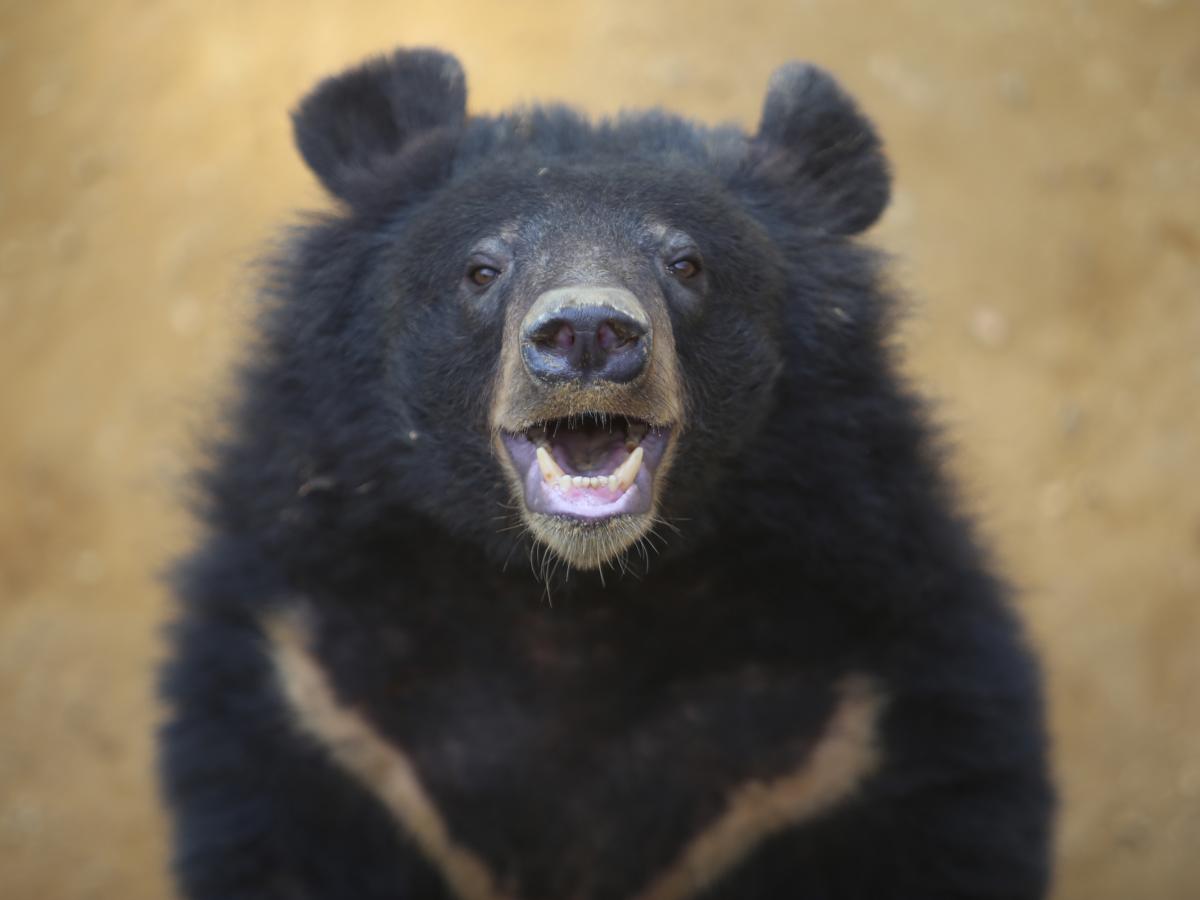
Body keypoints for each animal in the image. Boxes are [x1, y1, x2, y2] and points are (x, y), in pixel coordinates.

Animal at [159, 48, 1053, 900]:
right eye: (482, 269)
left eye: (687, 265)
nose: (587, 333)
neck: (576, 599)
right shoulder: (318, 709)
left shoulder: (855, 735)